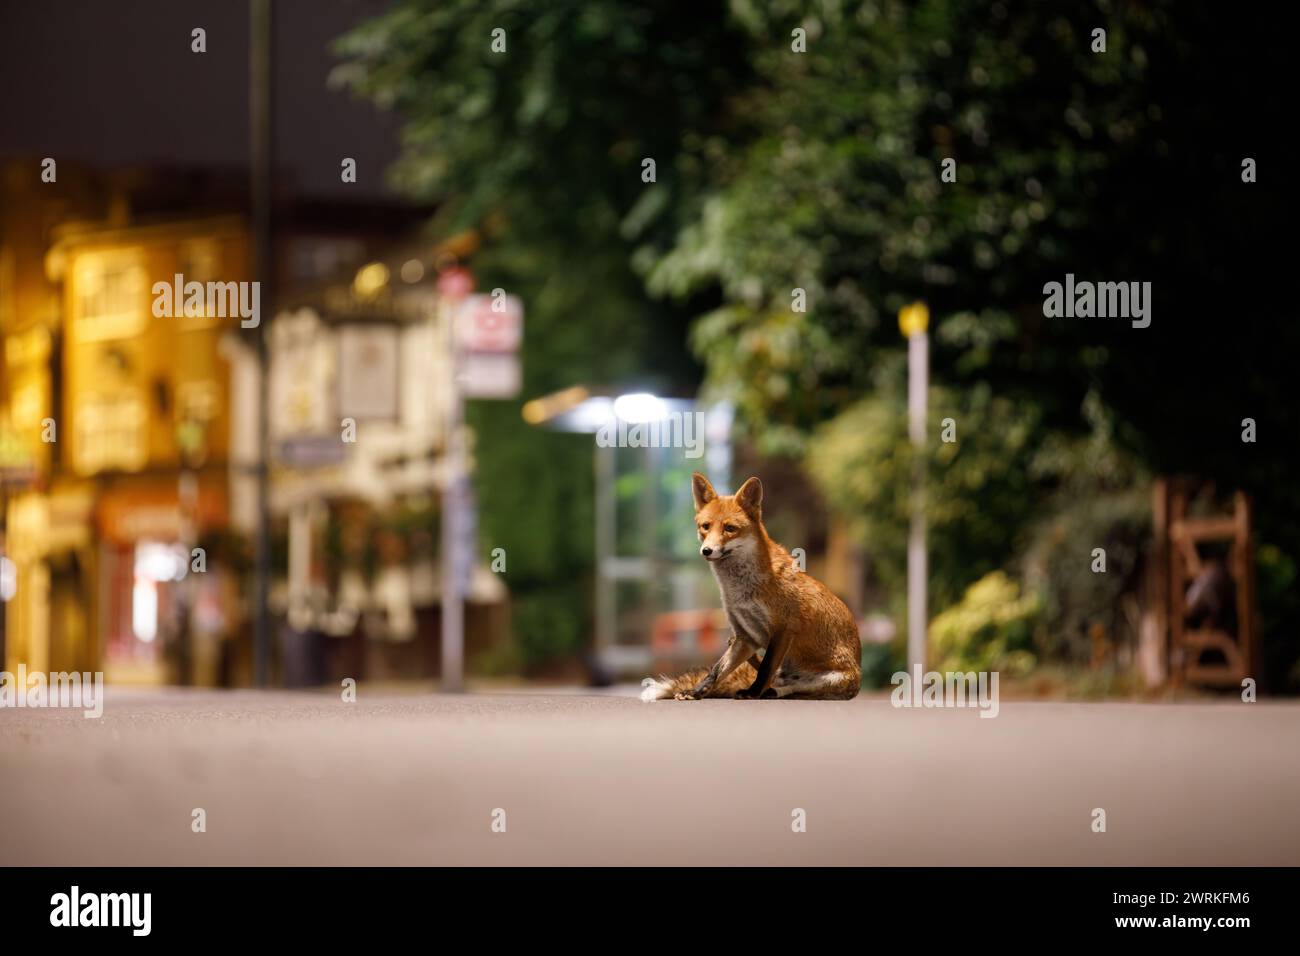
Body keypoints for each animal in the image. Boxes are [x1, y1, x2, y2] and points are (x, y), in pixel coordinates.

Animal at [640, 473, 861, 701]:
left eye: (730, 528)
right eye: (705, 526)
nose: (707, 550)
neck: (741, 591)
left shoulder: (782, 630)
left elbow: (765, 668)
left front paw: (751, 693)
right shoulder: (745, 636)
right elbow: (716, 671)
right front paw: (695, 692)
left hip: (828, 680)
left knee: (789, 690)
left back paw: (765, 692)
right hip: (782, 669)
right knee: (775, 682)